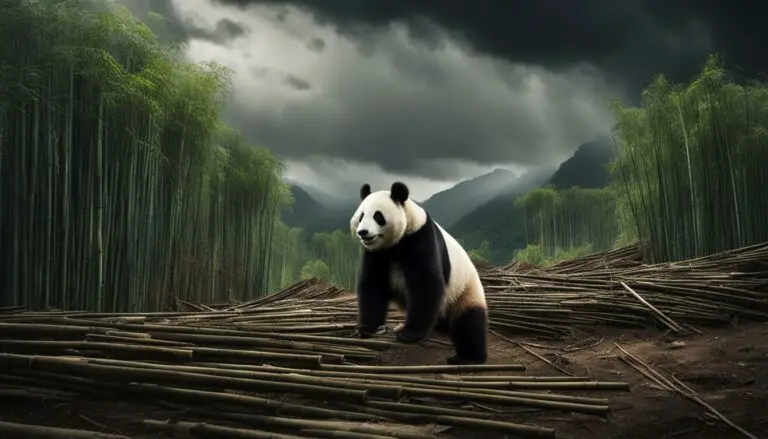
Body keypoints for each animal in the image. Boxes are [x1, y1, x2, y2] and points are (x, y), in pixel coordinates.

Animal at [349, 181, 489, 365]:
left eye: (377, 216)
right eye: (361, 216)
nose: (363, 232)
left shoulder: (420, 237)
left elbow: (426, 283)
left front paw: (408, 334)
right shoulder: (376, 252)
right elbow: (372, 284)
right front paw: (365, 328)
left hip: (464, 289)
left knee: (469, 321)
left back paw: (468, 357)